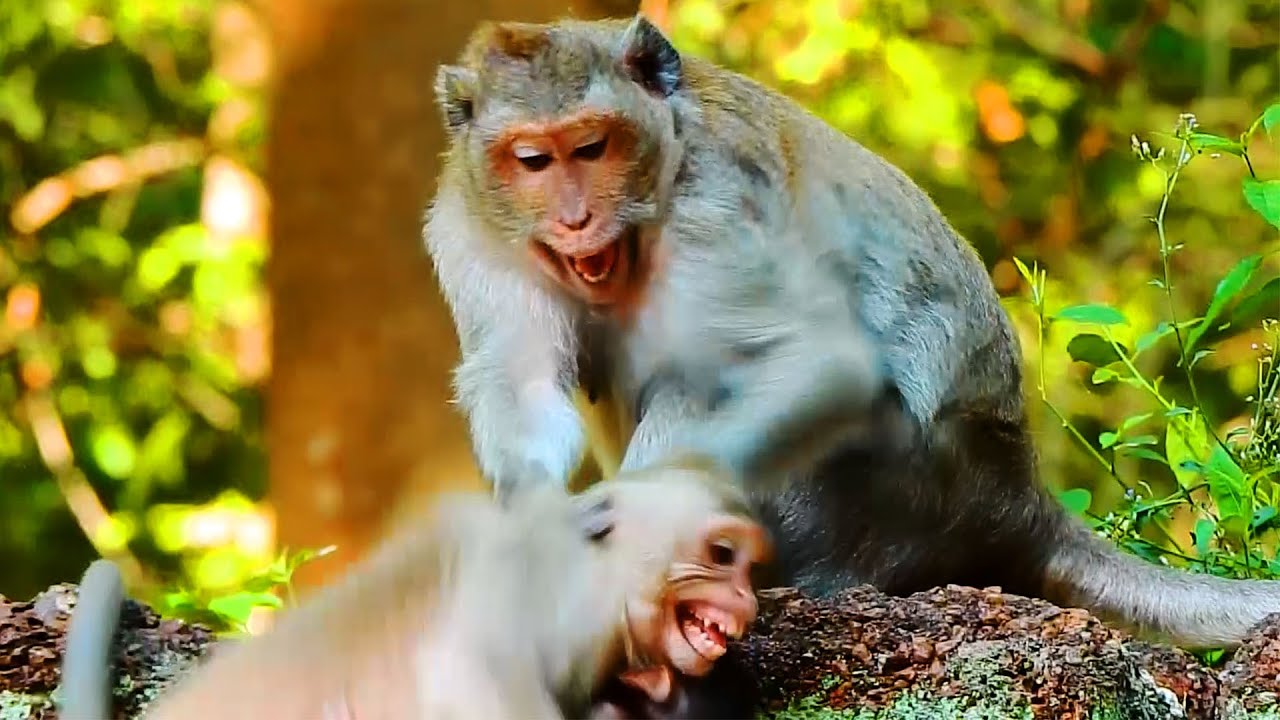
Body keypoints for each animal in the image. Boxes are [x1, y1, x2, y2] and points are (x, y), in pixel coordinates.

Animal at [422, 10, 1280, 672]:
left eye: (593, 146)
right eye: (532, 159)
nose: (575, 219)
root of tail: (1018, 496)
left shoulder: (717, 207)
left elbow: (820, 362)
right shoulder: (473, 225)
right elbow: (522, 383)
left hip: (888, 495)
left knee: (706, 378)